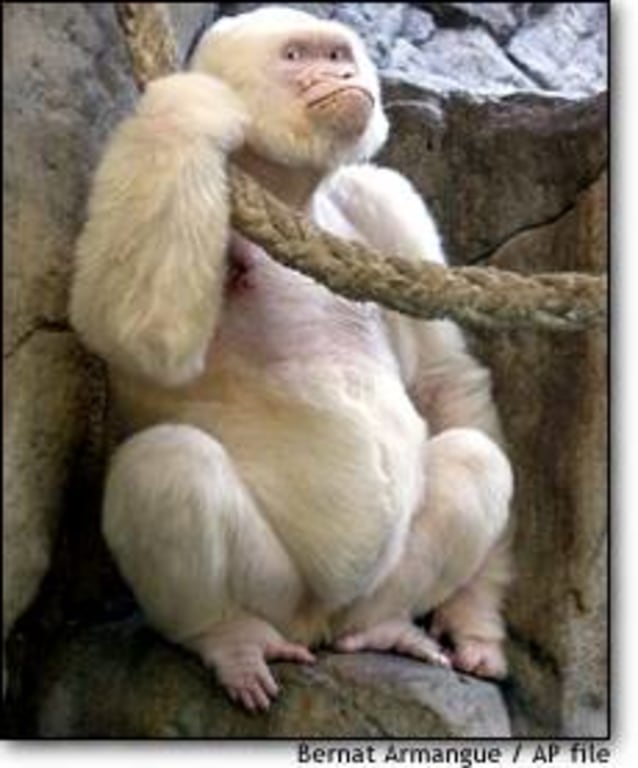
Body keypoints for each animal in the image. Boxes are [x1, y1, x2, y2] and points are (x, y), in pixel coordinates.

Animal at [70, 6, 514, 713]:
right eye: (296, 55)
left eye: (335, 53)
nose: (339, 73)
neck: (290, 193)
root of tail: (319, 625)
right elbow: (135, 329)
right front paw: (192, 105)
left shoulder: (384, 199)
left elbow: (443, 380)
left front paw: (476, 615)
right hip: (276, 591)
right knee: (170, 464)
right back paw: (226, 636)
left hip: (367, 588)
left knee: (474, 457)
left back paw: (389, 624)